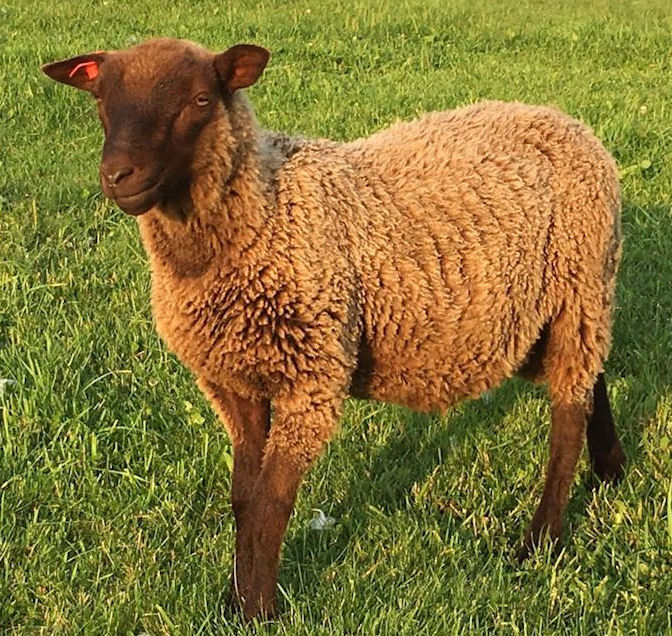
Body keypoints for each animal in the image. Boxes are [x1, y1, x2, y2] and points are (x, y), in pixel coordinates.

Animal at [42, 38, 626, 619]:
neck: (268, 208)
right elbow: (243, 496)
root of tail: (565, 120)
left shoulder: (312, 377)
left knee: (567, 417)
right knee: (593, 376)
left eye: (201, 100)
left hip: (576, 283)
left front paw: (258, 609)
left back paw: (540, 540)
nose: (119, 176)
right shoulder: (234, 381)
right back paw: (609, 467)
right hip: (575, 300)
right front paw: (234, 597)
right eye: (100, 100)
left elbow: (271, 500)